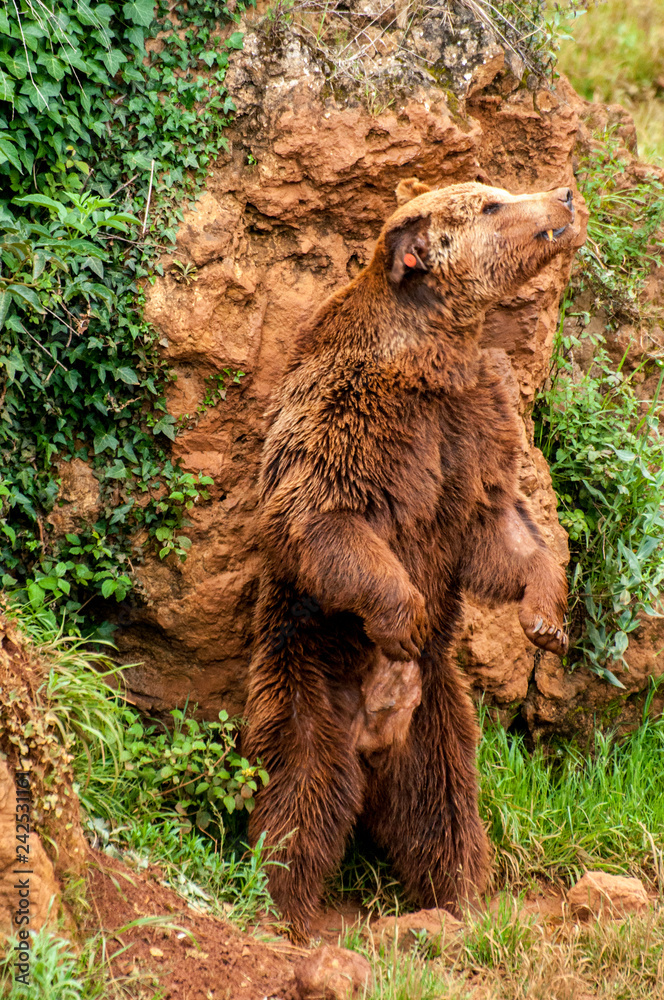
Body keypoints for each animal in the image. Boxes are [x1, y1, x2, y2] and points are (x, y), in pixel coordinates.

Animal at [244, 178, 578, 942]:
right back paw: (283, 911)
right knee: (298, 798)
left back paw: (464, 900)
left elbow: (502, 529)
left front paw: (545, 620)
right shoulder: (355, 415)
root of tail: (374, 737)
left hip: (437, 716)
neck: (431, 357)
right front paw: (405, 617)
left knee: (445, 811)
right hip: (309, 682)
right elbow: (316, 516)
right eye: (491, 204)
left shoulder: (474, 421)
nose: (566, 195)